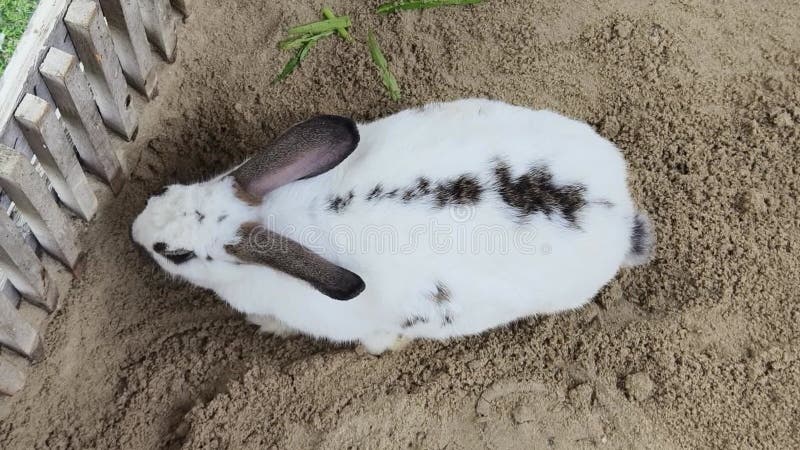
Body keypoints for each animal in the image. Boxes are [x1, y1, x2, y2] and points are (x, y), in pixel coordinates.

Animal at [131, 99, 655, 355]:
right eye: (165, 191)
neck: (264, 224)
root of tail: (618, 208)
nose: (134, 233)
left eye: (175, 253)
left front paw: (267, 325)